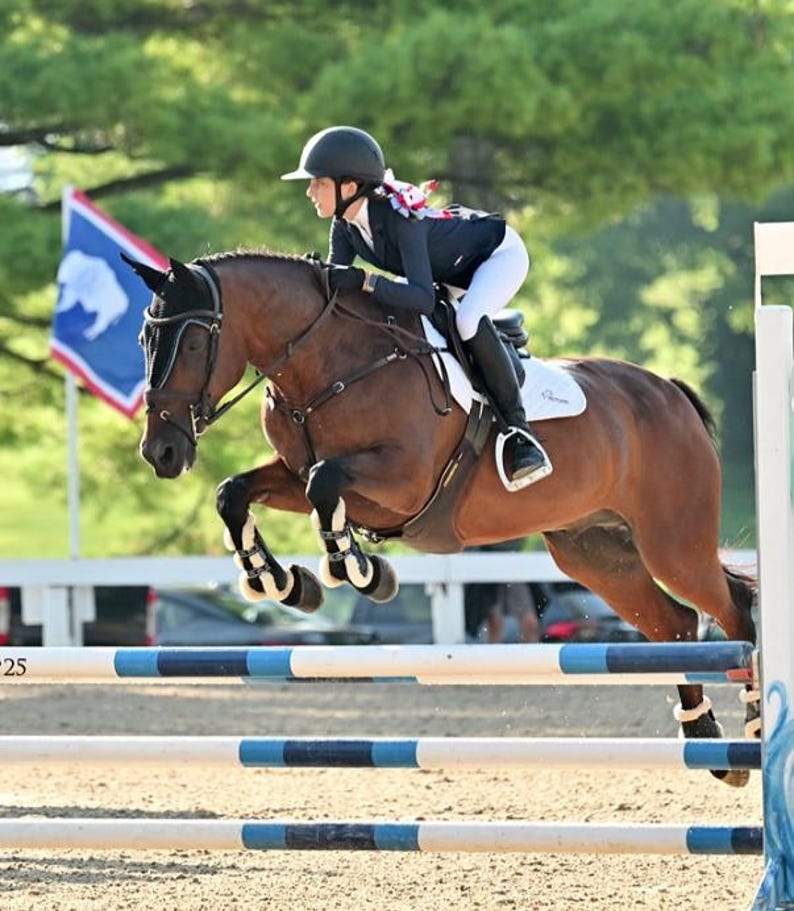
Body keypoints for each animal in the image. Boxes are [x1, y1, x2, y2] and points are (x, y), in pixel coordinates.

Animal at [124, 250, 758, 787]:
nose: (161, 452)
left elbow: (324, 483)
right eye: (143, 339)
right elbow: (235, 493)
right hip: (596, 553)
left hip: (671, 544)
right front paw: (280, 581)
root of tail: (668, 390)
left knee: (731, 612)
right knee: (676, 625)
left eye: (191, 343)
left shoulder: (401, 481)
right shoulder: (294, 472)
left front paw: (359, 570)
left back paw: (752, 727)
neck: (330, 362)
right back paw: (708, 738)